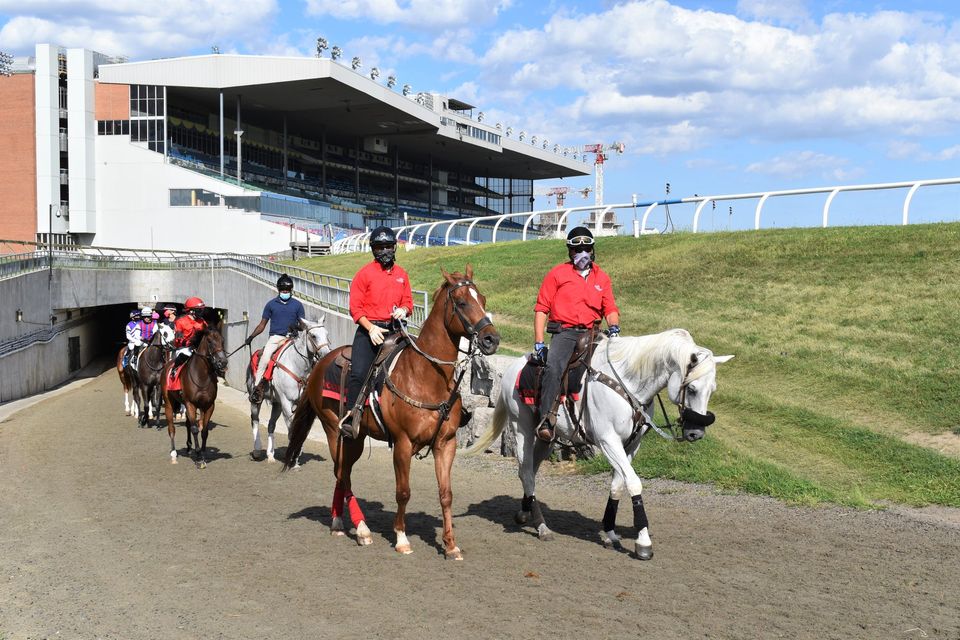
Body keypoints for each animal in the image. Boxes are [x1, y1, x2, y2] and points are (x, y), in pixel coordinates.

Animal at [161, 327, 228, 468]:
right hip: (169, 403)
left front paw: (202, 454)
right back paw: (174, 454)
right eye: (210, 341)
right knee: (171, 428)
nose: (223, 362)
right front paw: (198, 458)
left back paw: (188, 447)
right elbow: (195, 429)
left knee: (187, 424)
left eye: (222, 340)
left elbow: (204, 431)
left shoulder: (209, 405)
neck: (201, 376)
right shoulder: (190, 404)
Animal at [246, 317, 331, 463]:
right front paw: (293, 458)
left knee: (271, 425)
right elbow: (291, 429)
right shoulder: (287, 402)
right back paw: (257, 450)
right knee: (255, 420)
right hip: (256, 400)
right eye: (313, 336)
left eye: (326, 334)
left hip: (277, 404)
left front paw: (296, 455)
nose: (326, 354)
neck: (297, 367)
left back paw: (270, 455)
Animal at [282, 266, 500, 560]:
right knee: (342, 474)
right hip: (333, 430)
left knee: (342, 474)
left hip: (354, 439)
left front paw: (450, 544)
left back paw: (340, 522)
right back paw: (360, 528)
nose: (491, 339)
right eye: (463, 302)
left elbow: (446, 493)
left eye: (483, 299)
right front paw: (401, 538)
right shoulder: (403, 443)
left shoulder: (446, 443)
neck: (425, 376)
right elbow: (403, 492)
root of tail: (320, 364)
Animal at [466, 328, 733, 560]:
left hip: (546, 438)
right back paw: (541, 526)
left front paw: (609, 532)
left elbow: (617, 485)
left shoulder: (631, 446)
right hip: (521, 428)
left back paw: (525, 511)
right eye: (693, 388)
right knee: (527, 472)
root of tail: (514, 367)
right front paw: (643, 541)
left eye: (712, 390)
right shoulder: (608, 441)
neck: (627, 383)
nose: (696, 433)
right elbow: (633, 483)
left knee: (529, 471)